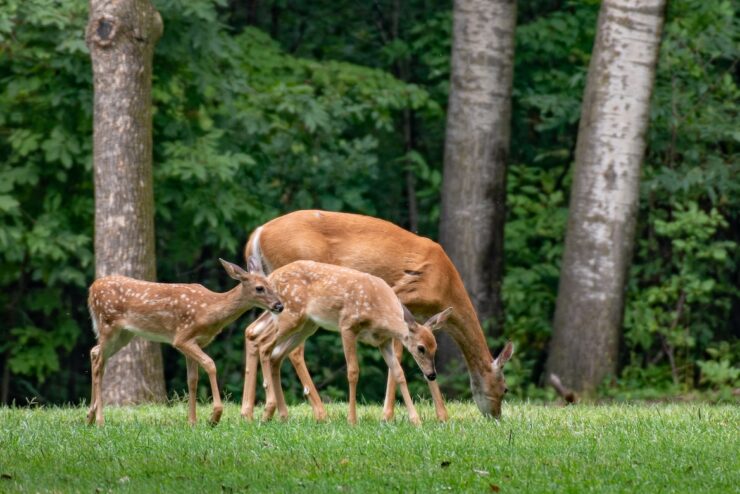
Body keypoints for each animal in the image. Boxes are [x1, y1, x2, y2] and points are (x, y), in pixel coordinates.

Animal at [86, 257, 283, 426]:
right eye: (259, 288)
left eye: (272, 285)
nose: (279, 306)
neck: (209, 310)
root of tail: (91, 289)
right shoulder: (182, 337)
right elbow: (210, 364)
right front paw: (215, 416)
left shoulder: (194, 343)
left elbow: (192, 380)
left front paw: (192, 422)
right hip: (108, 325)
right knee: (99, 363)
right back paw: (100, 420)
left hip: (124, 334)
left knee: (94, 352)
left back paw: (89, 417)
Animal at [250, 260, 450, 426]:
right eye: (421, 348)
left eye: (435, 347)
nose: (432, 374)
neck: (380, 312)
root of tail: (271, 276)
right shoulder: (347, 326)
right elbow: (353, 372)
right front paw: (352, 420)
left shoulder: (383, 342)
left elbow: (399, 373)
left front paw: (416, 420)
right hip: (289, 315)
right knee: (264, 343)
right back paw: (268, 408)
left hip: (307, 325)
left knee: (276, 355)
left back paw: (278, 415)